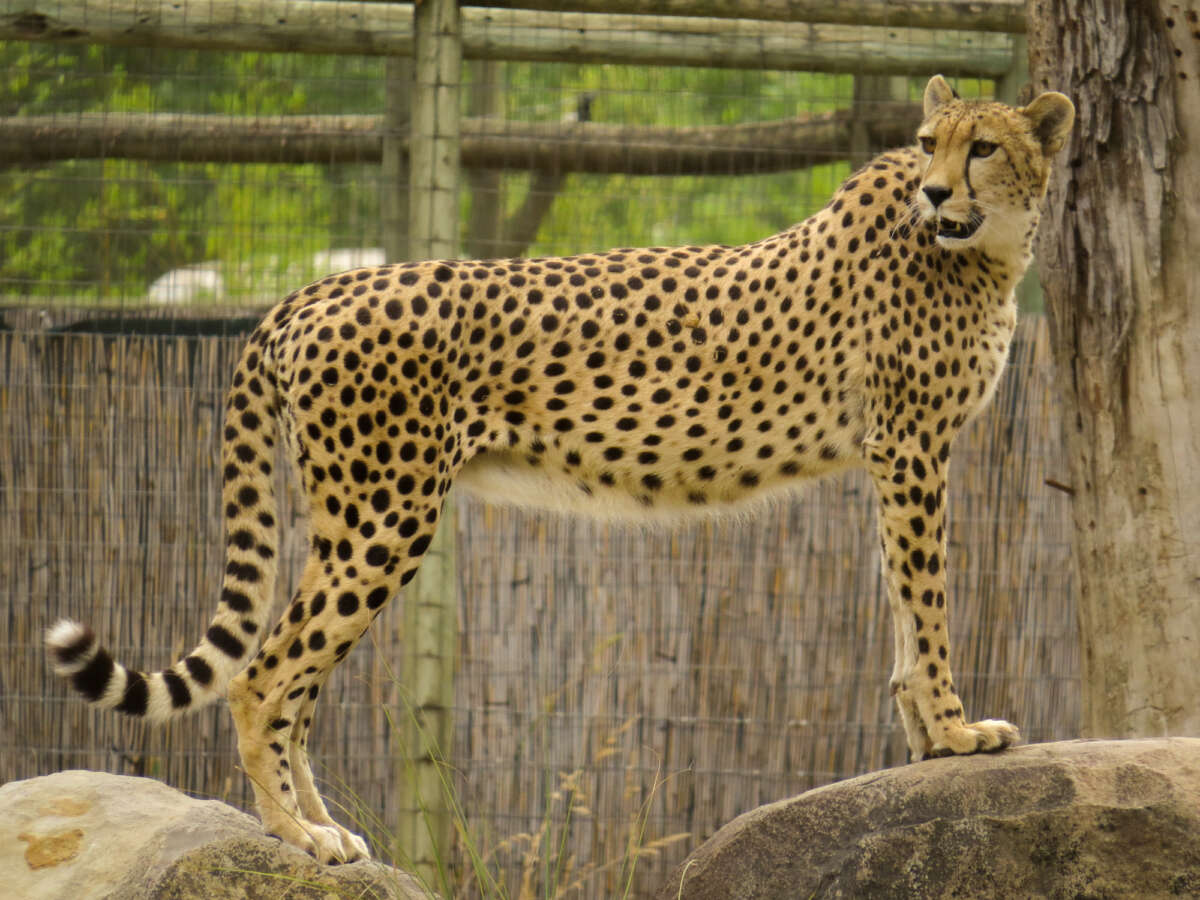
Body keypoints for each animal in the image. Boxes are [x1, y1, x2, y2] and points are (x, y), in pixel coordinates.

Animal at [47, 75, 1074, 864]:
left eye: (983, 147)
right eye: (930, 144)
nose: (934, 195)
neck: (983, 247)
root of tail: (314, 288)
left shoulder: (893, 455)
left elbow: (905, 608)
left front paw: (925, 739)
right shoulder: (911, 446)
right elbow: (929, 604)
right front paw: (956, 733)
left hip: (350, 520)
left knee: (296, 682)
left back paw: (323, 827)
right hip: (385, 515)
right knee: (265, 674)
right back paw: (295, 838)